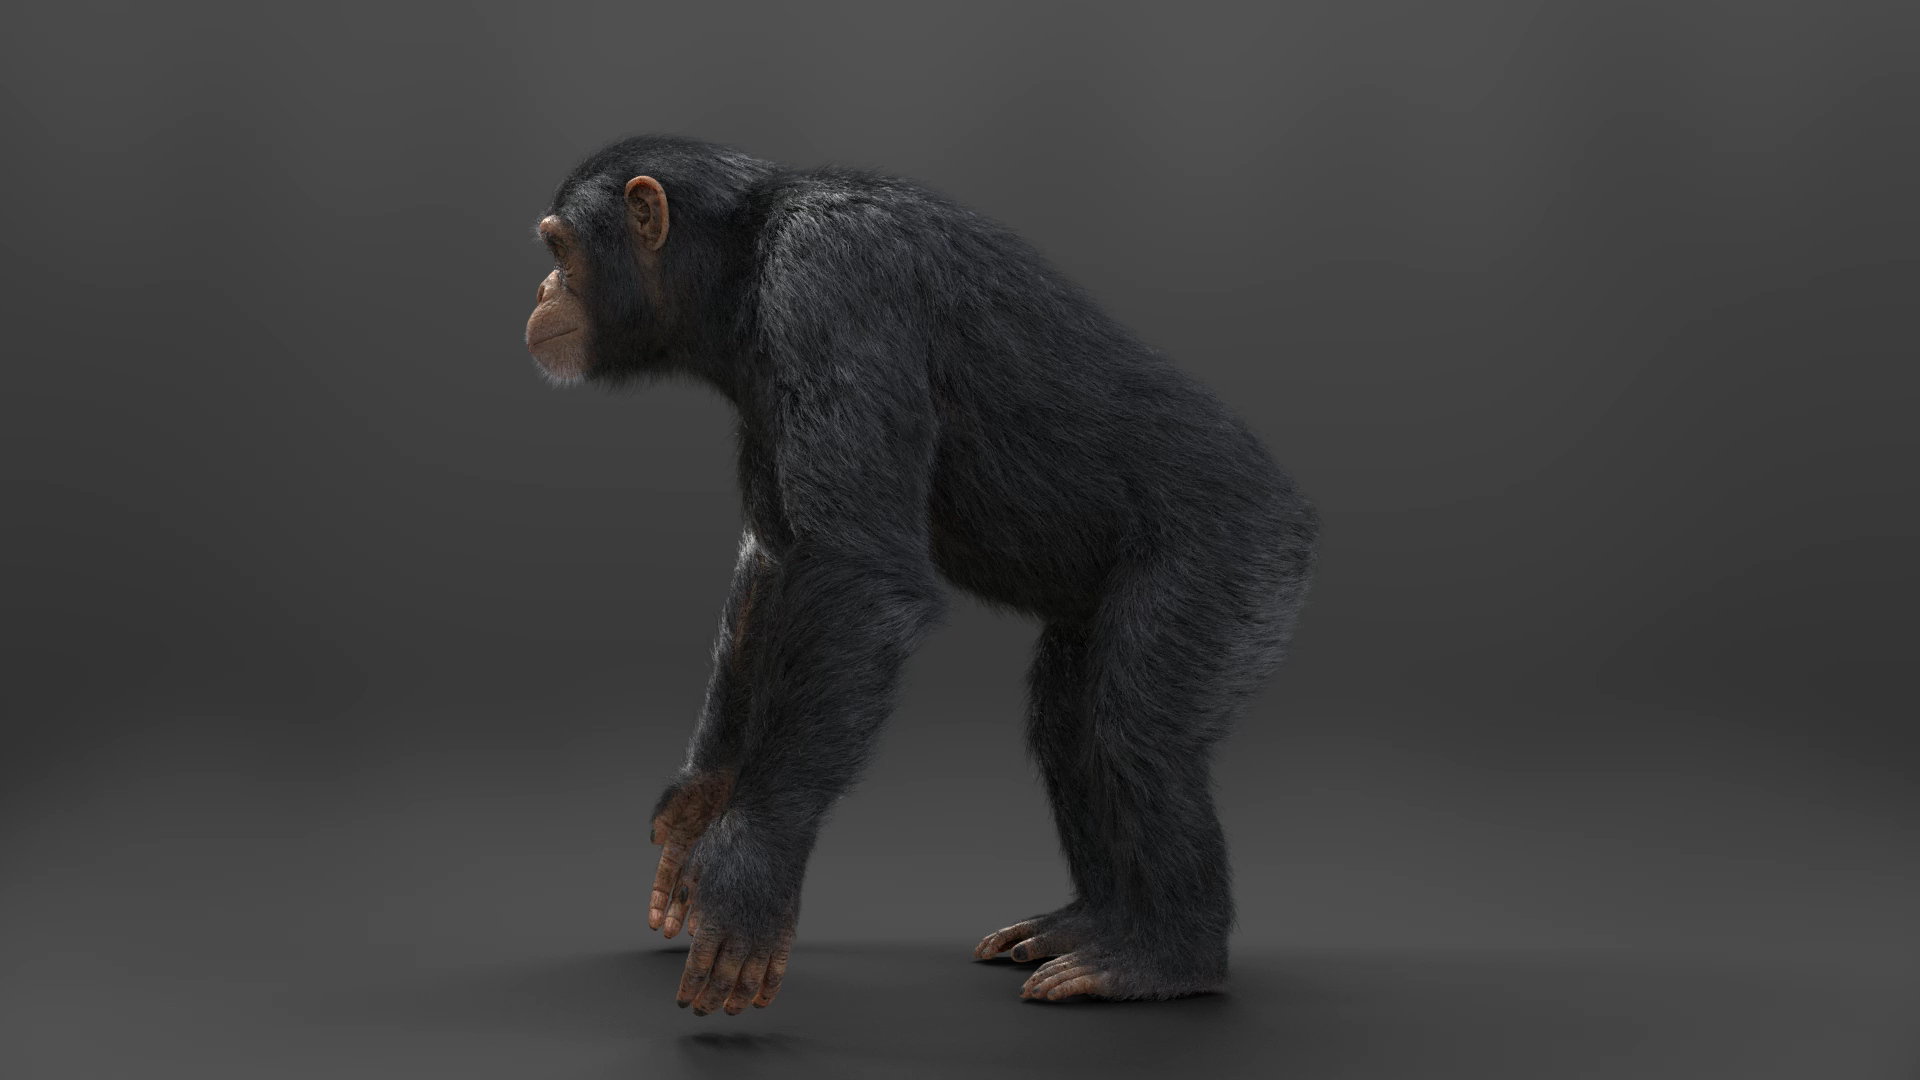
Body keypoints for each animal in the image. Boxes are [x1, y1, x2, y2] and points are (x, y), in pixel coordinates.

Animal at [523, 135, 1317, 1016]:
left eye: (559, 248)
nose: (544, 287)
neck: (741, 259)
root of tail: (1294, 511)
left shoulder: (832, 283)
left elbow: (854, 567)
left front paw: (749, 869)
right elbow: (778, 558)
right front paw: (701, 803)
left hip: (1231, 562)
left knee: (1136, 729)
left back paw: (1166, 956)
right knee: (1070, 723)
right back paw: (1091, 924)